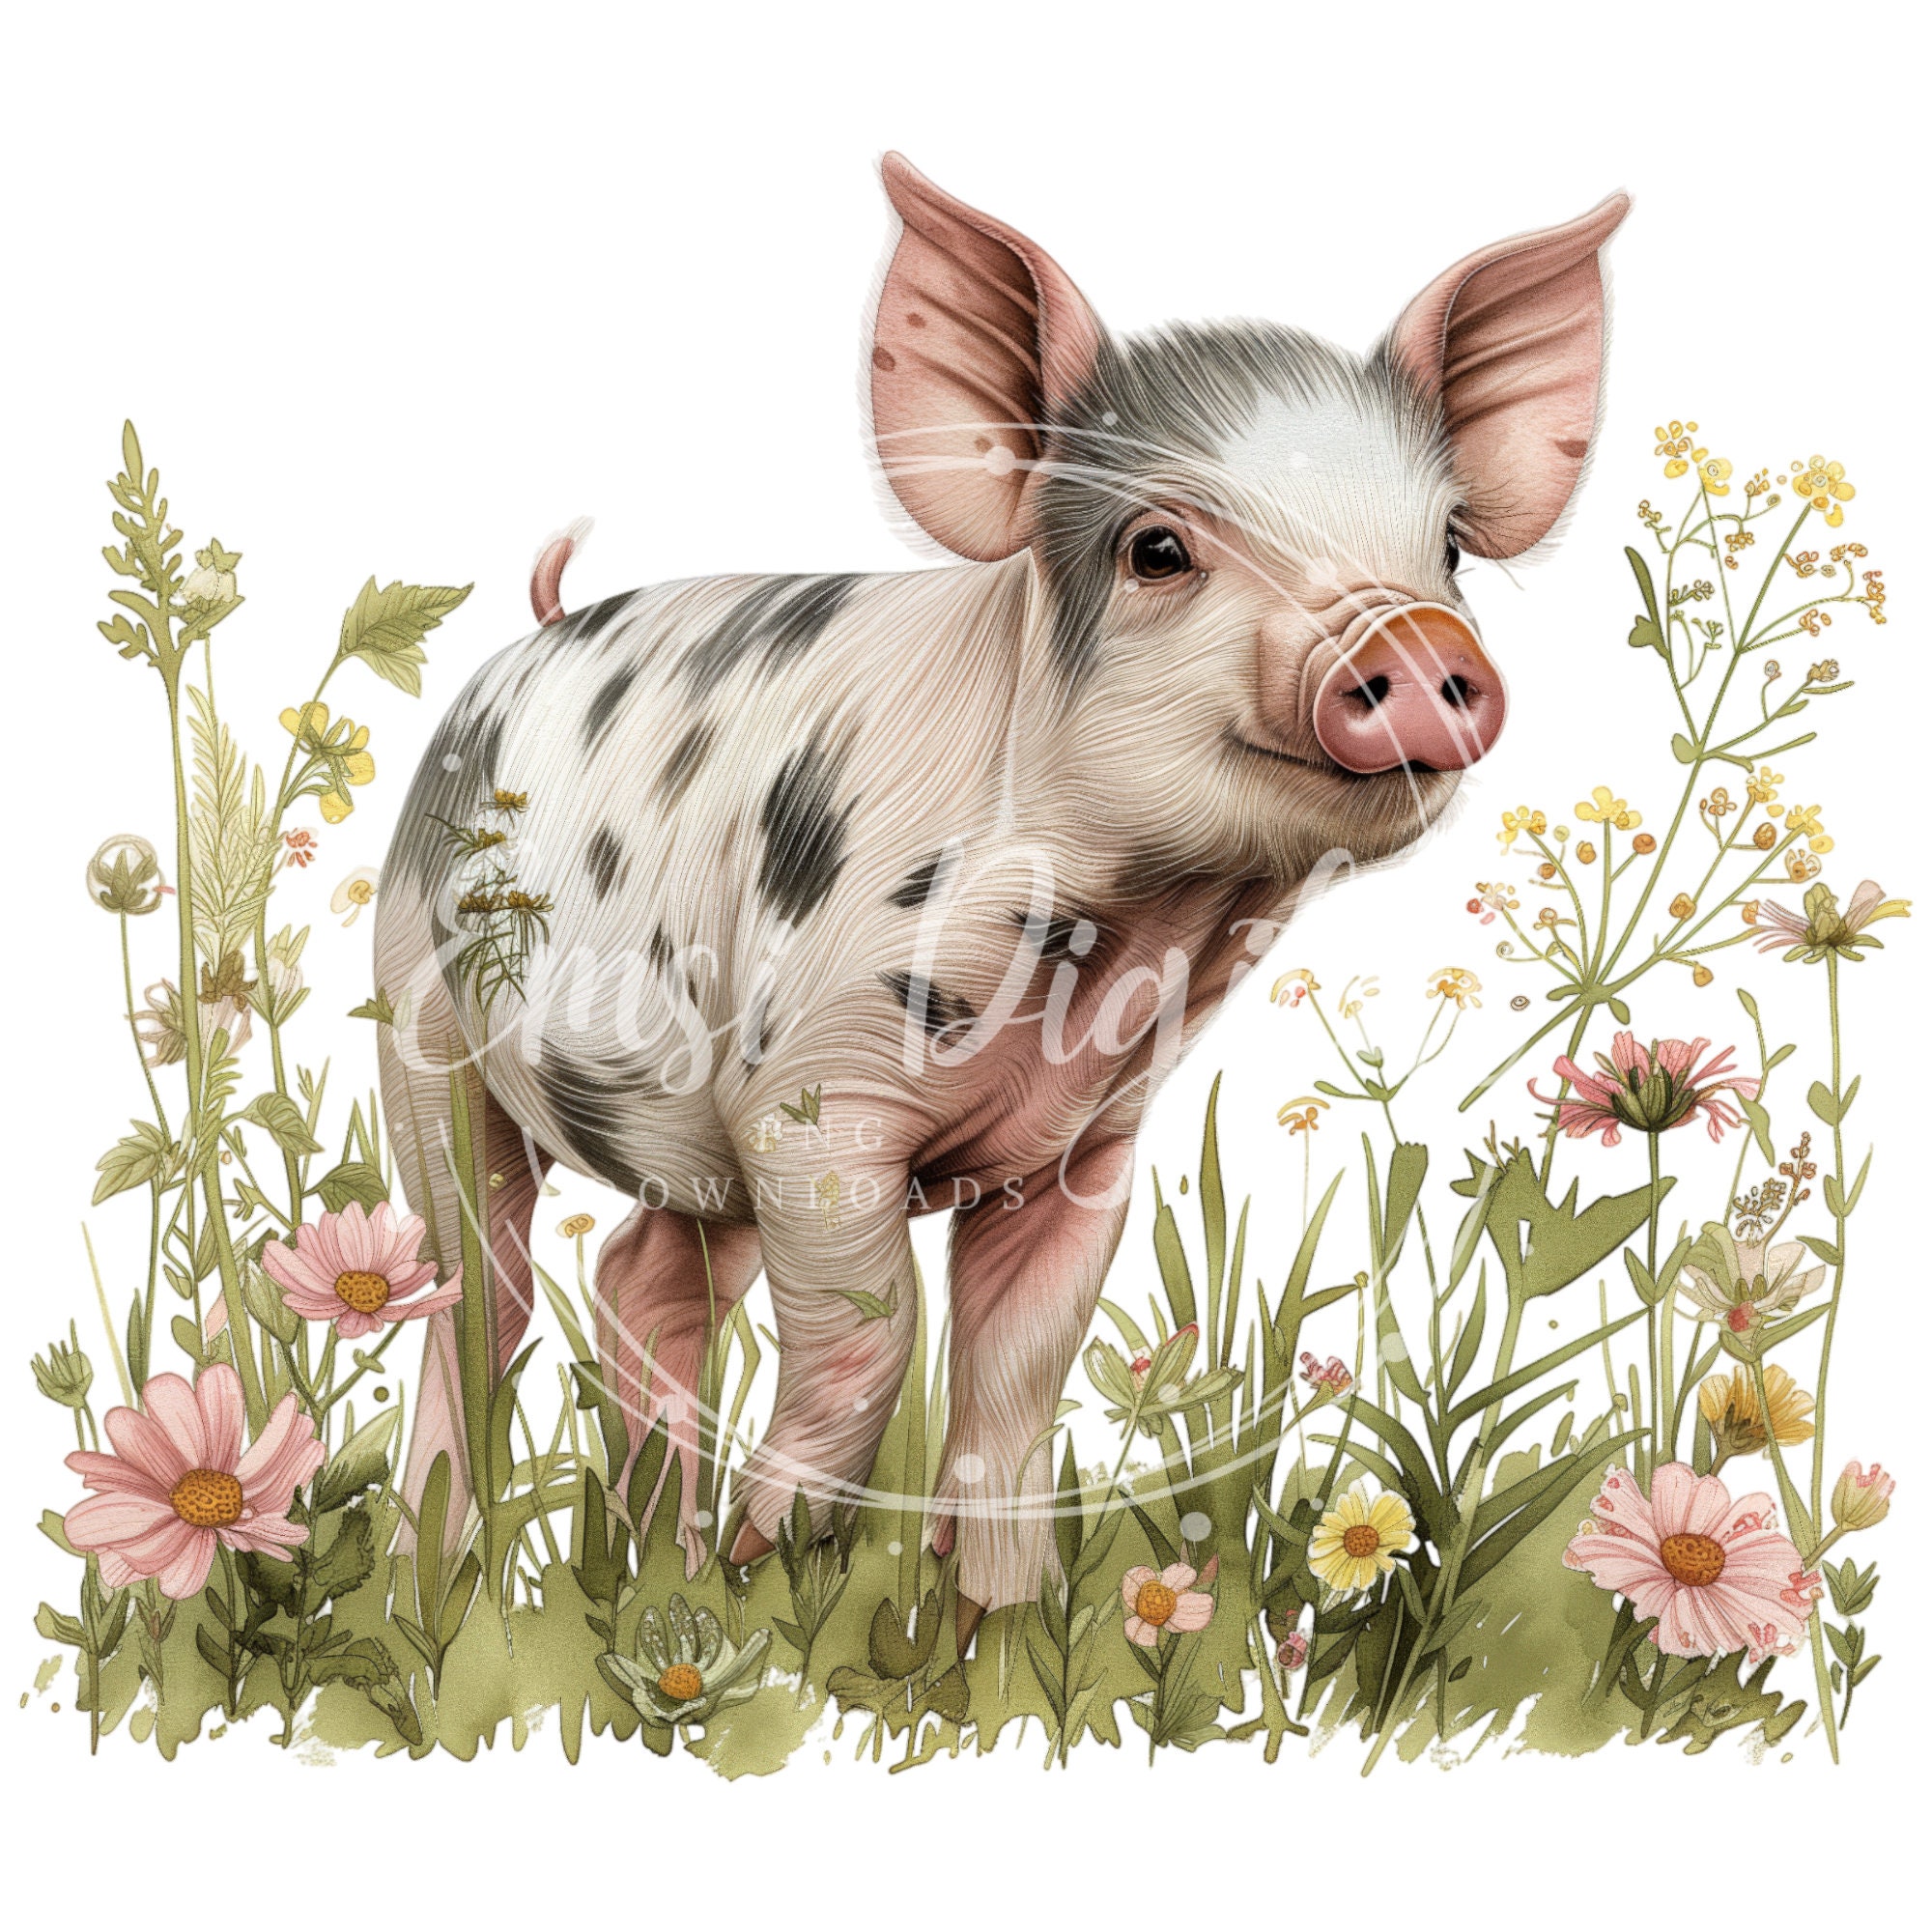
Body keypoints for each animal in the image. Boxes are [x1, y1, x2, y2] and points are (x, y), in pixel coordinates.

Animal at [376, 152, 1628, 1644]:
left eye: (1446, 546)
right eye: (1158, 549)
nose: (1420, 641)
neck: (1124, 937)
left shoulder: (1083, 1145)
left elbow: (1014, 1390)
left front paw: (998, 1638)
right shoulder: (809, 1103)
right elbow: (874, 1341)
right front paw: (771, 1567)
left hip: (682, 1143)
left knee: (641, 1278)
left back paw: (647, 1573)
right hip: (417, 1020)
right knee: (475, 1290)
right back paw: (460, 1580)